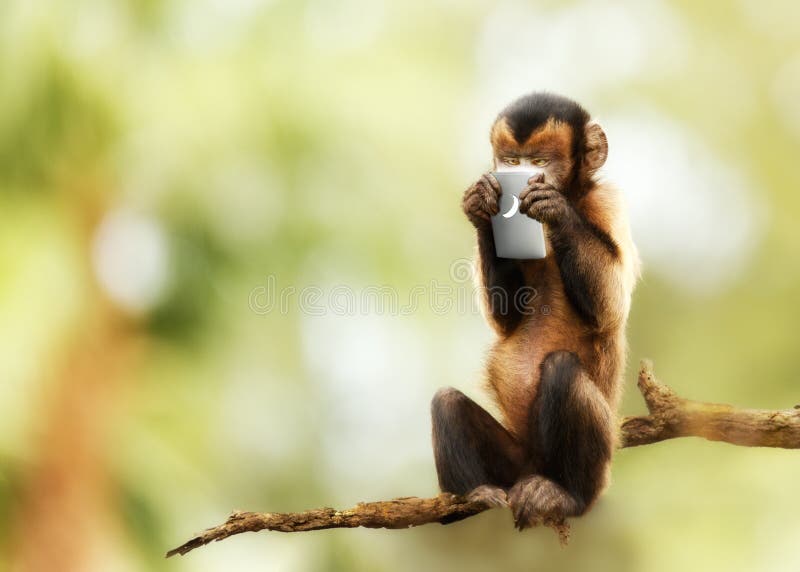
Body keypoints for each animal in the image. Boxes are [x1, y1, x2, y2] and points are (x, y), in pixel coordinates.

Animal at [431, 92, 640, 530]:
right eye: (511, 160)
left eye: (541, 161)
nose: (523, 175)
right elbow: (506, 318)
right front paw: (481, 204)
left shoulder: (609, 201)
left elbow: (610, 309)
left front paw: (553, 208)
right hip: (515, 462)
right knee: (446, 401)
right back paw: (474, 497)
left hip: (600, 467)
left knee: (561, 370)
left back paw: (567, 495)